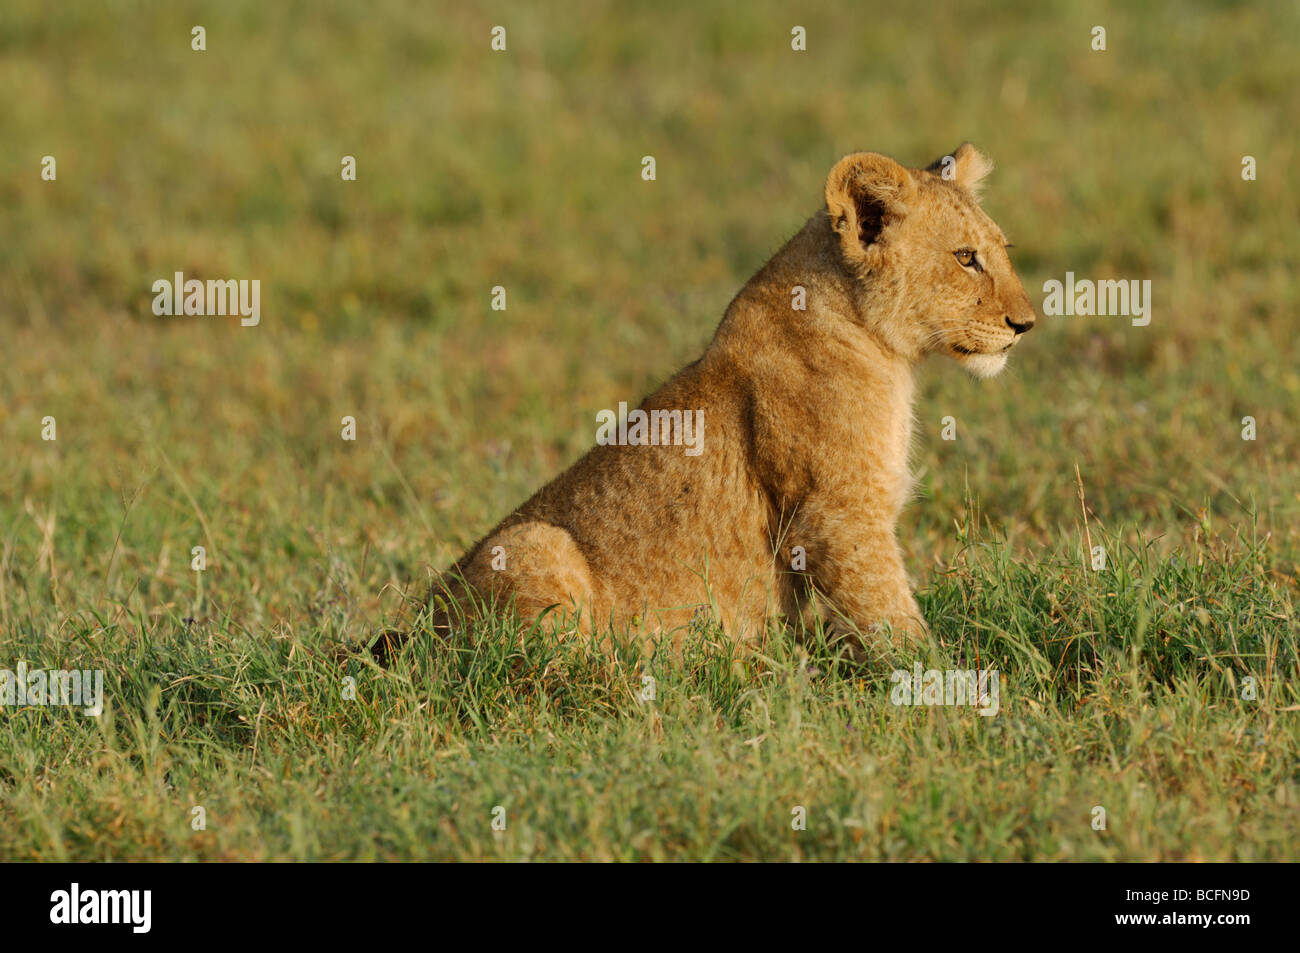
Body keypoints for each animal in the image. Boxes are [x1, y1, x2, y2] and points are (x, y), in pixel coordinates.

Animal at [378, 144, 1035, 663]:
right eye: (965, 258)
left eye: (1001, 250)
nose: (1027, 324)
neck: (881, 346)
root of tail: (413, 633)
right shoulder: (837, 515)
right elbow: (889, 615)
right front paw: (944, 684)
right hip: (532, 543)